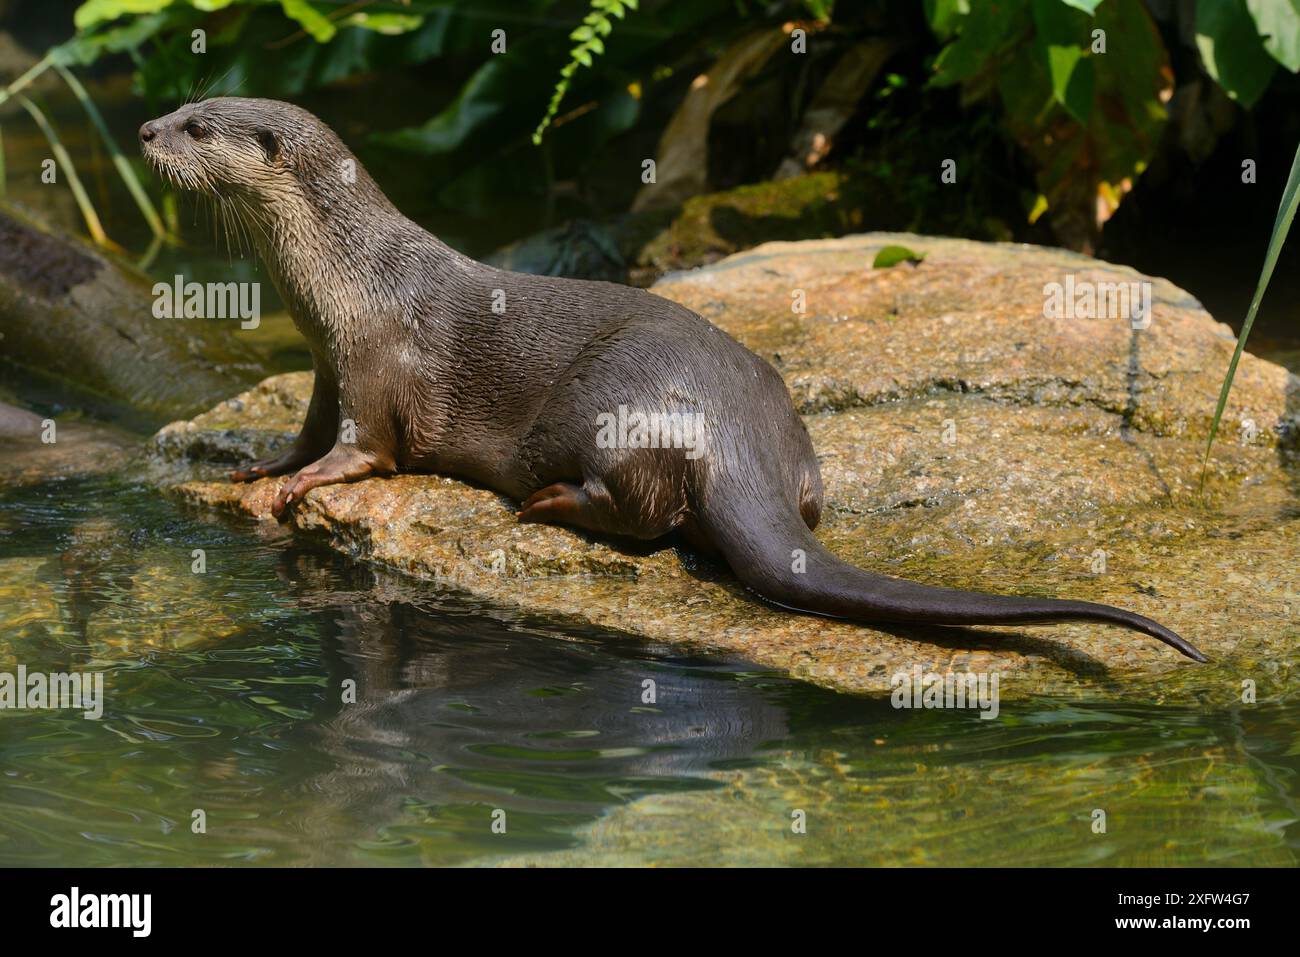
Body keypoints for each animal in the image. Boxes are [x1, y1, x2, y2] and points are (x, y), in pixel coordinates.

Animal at [139, 97, 1205, 662]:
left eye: (197, 124)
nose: (145, 131)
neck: (348, 277)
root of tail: (735, 440)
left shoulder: (374, 363)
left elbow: (367, 451)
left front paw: (305, 484)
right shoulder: (327, 360)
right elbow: (307, 428)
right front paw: (260, 466)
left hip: (605, 406)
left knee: (643, 516)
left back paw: (547, 501)